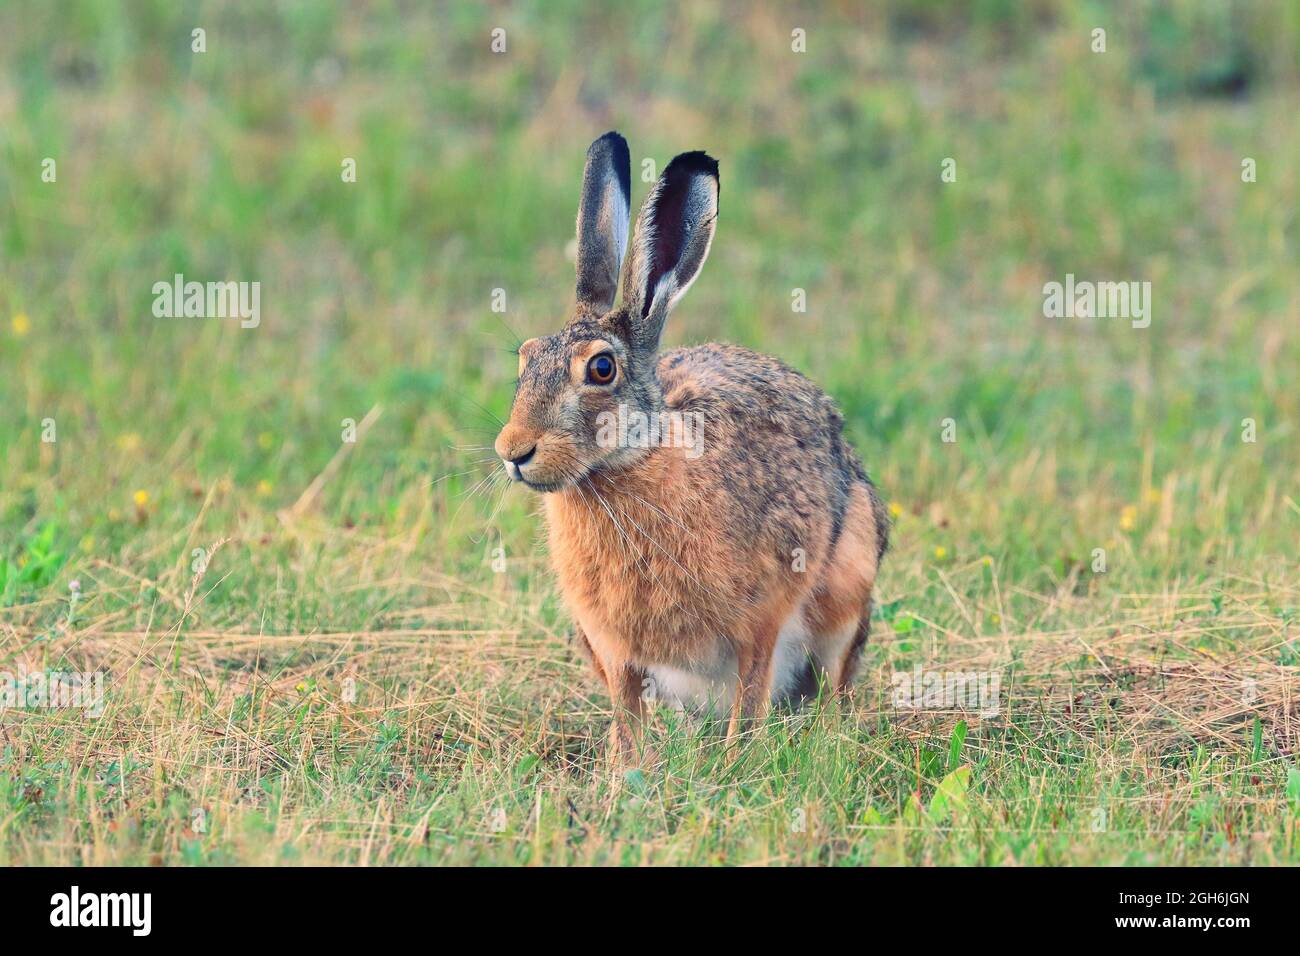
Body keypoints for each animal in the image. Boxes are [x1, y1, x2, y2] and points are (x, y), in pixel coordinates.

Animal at [494, 132, 888, 760]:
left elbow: (750, 693)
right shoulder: (612, 646)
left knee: (831, 685)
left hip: (847, 587)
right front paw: (624, 770)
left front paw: (736, 762)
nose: (514, 451)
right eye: (526, 358)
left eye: (601, 369)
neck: (628, 466)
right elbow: (626, 711)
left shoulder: (763, 618)